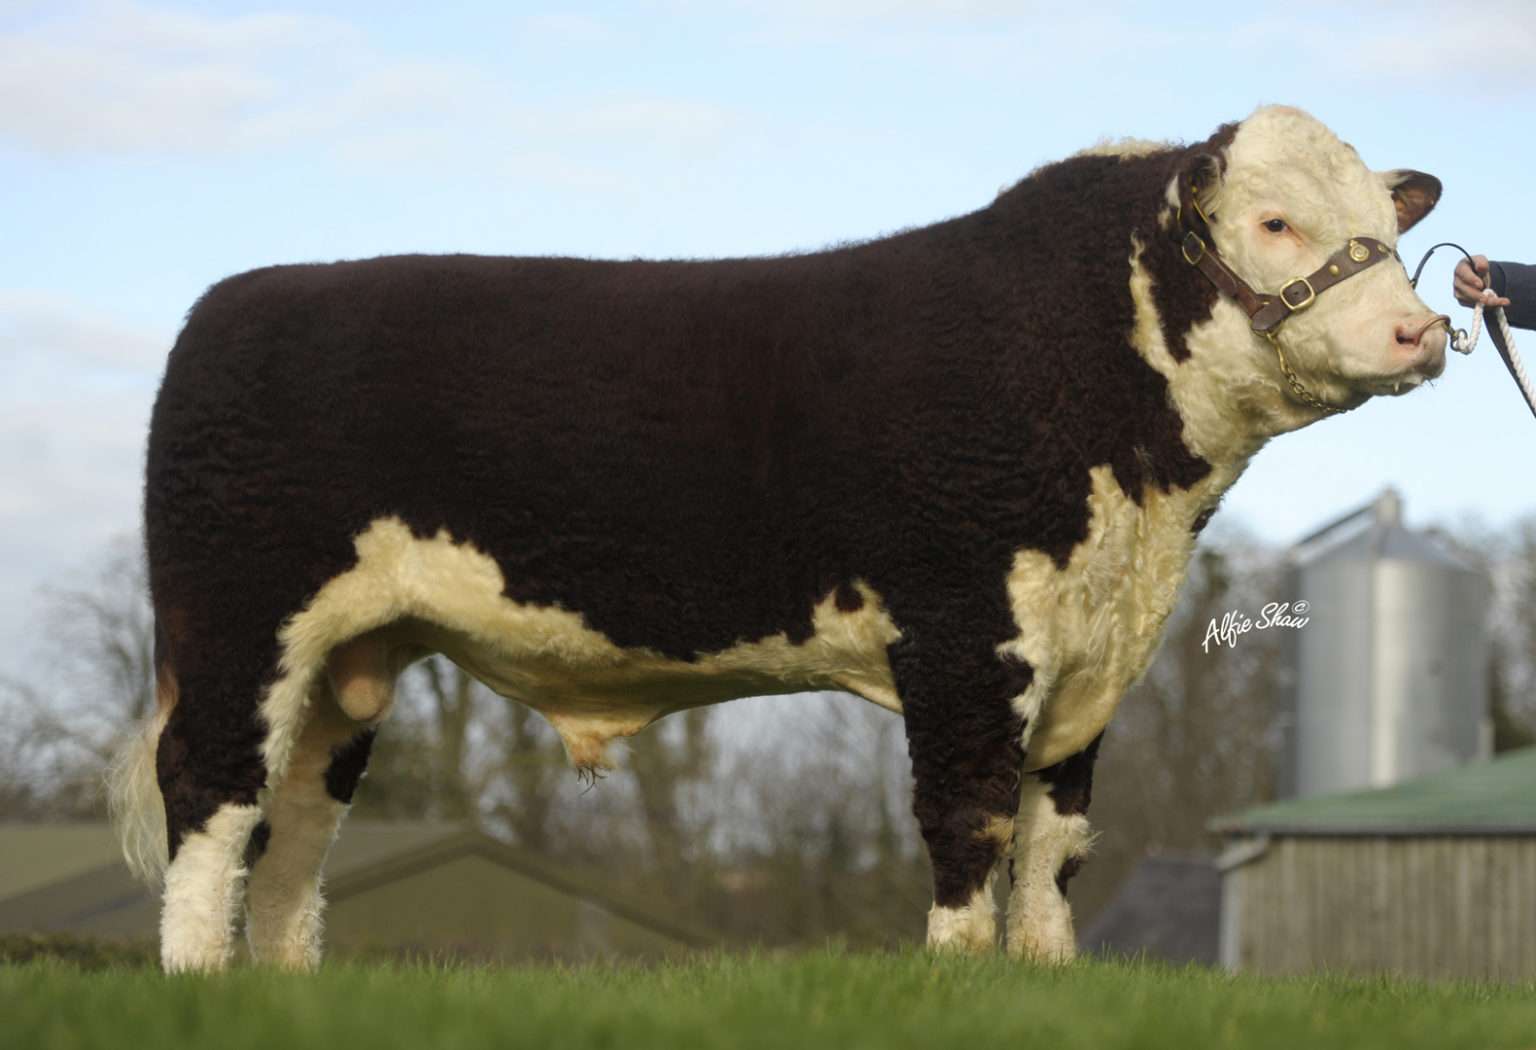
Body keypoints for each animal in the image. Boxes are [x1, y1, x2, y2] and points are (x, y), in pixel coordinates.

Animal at [109, 105, 1448, 972]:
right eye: (1272, 222)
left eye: (1390, 224)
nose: (1420, 332)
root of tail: (234, 301)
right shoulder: (961, 631)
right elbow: (972, 819)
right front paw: (955, 980)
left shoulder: (1088, 660)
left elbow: (1055, 843)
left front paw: (1041, 980)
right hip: (240, 619)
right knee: (214, 796)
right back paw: (197, 979)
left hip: (349, 660)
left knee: (295, 826)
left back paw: (283, 986)